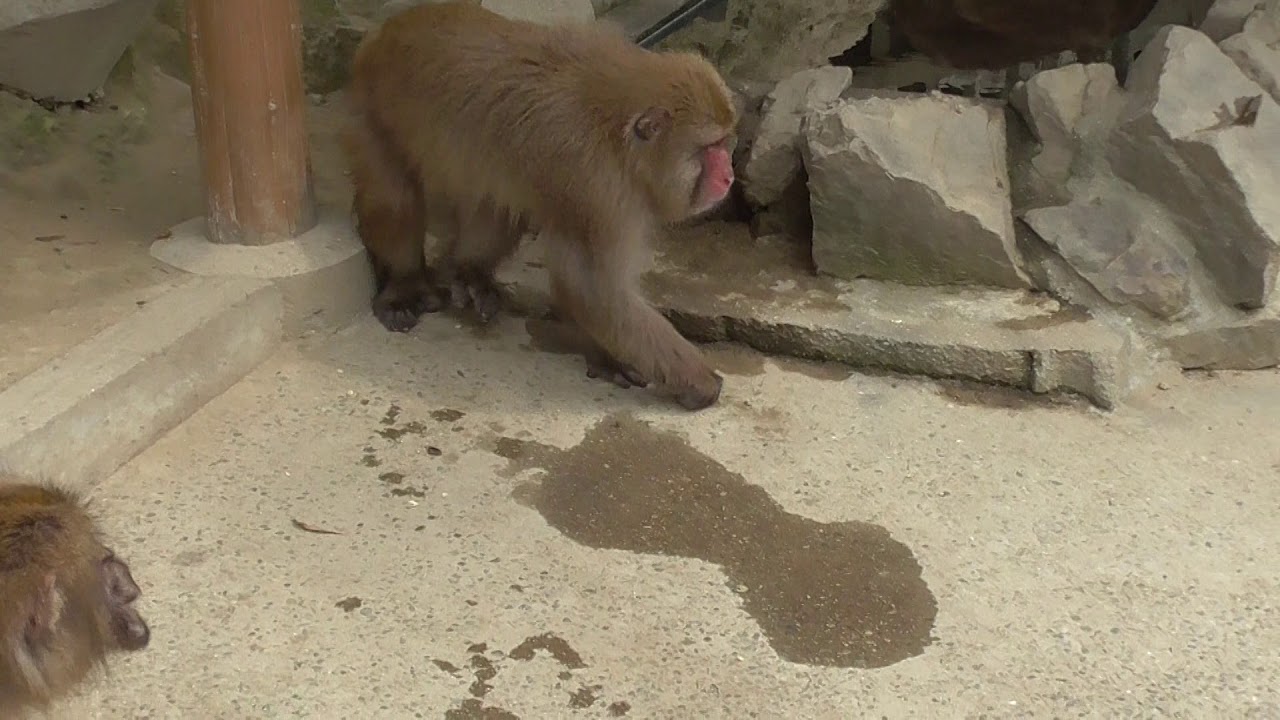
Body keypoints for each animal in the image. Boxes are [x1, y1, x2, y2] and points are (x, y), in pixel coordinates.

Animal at [342, 1, 738, 410]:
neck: (617, 136)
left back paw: (470, 272)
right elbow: (593, 288)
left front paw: (607, 355)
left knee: (501, 199)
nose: (729, 175)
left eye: (725, 142)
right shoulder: (597, 188)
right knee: (393, 201)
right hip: (370, 114)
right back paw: (404, 285)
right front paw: (698, 380)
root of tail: (382, 35)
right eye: (709, 148)